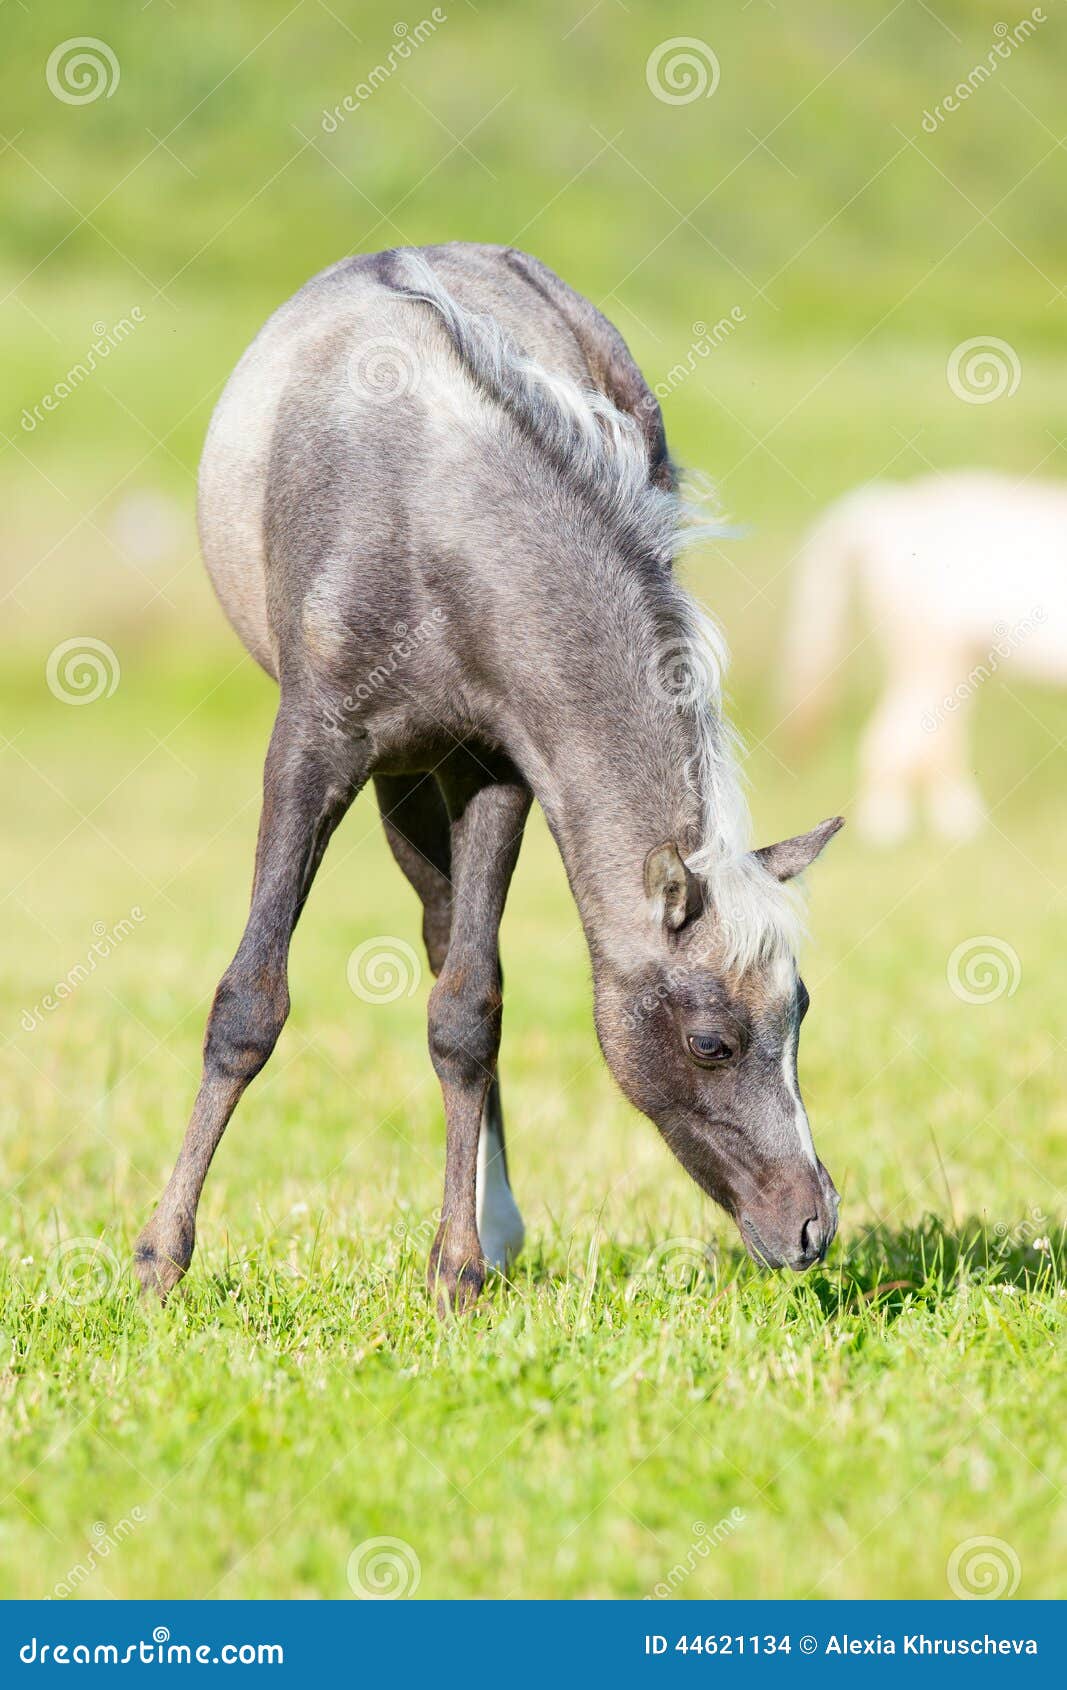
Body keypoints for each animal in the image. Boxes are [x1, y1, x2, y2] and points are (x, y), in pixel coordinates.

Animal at [135, 243, 844, 1311]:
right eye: (711, 1043)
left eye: (797, 1013)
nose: (811, 1228)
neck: (437, 518)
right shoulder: (311, 751)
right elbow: (248, 1004)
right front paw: (160, 1258)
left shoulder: (497, 769)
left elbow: (469, 1011)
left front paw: (459, 1267)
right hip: (393, 780)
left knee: (449, 964)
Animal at [783, 472, 1066, 843]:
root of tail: (894, 509)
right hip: (933, 654)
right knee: (897, 737)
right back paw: (896, 830)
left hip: (953, 661)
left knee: (930, 741)